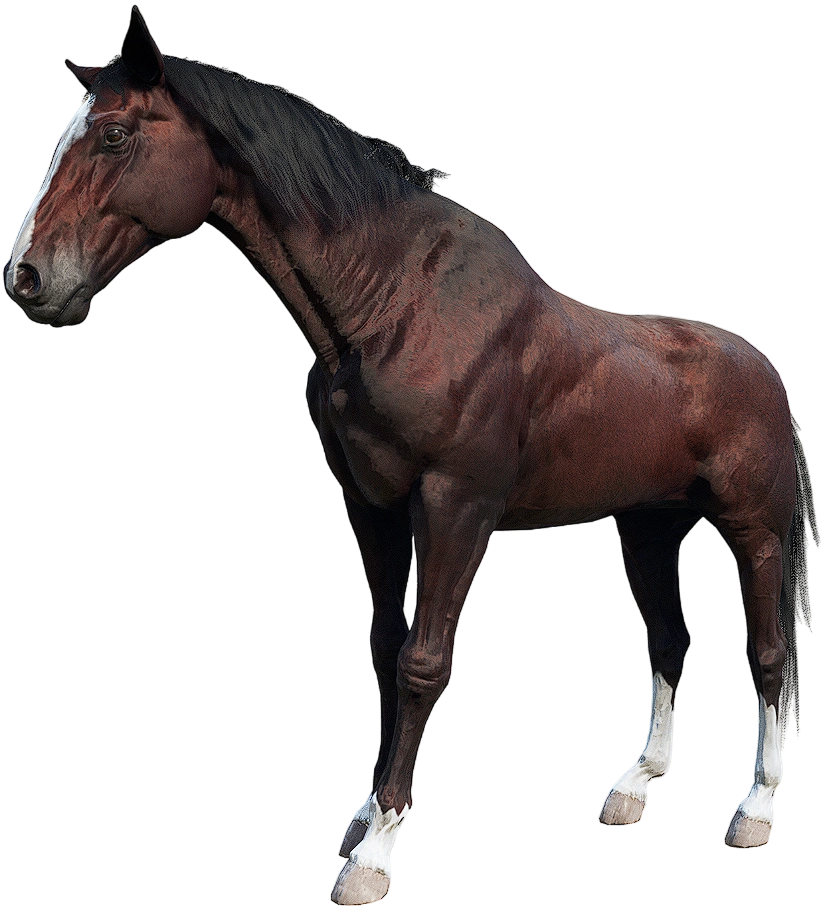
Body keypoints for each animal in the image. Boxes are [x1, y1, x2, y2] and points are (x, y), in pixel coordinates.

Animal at [4, 7, 818, 900]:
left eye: (114, 134)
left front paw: (374, 850)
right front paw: (359, 817)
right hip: (646, 530)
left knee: (770, 653)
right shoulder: (371, 507)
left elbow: (423, 662)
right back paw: (631, 791)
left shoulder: (455, 505)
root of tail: (763, 369)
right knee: (670, 646)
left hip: (753, 533)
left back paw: (756, 809)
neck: (397, 304)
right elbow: (384, 649)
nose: (28, 278)